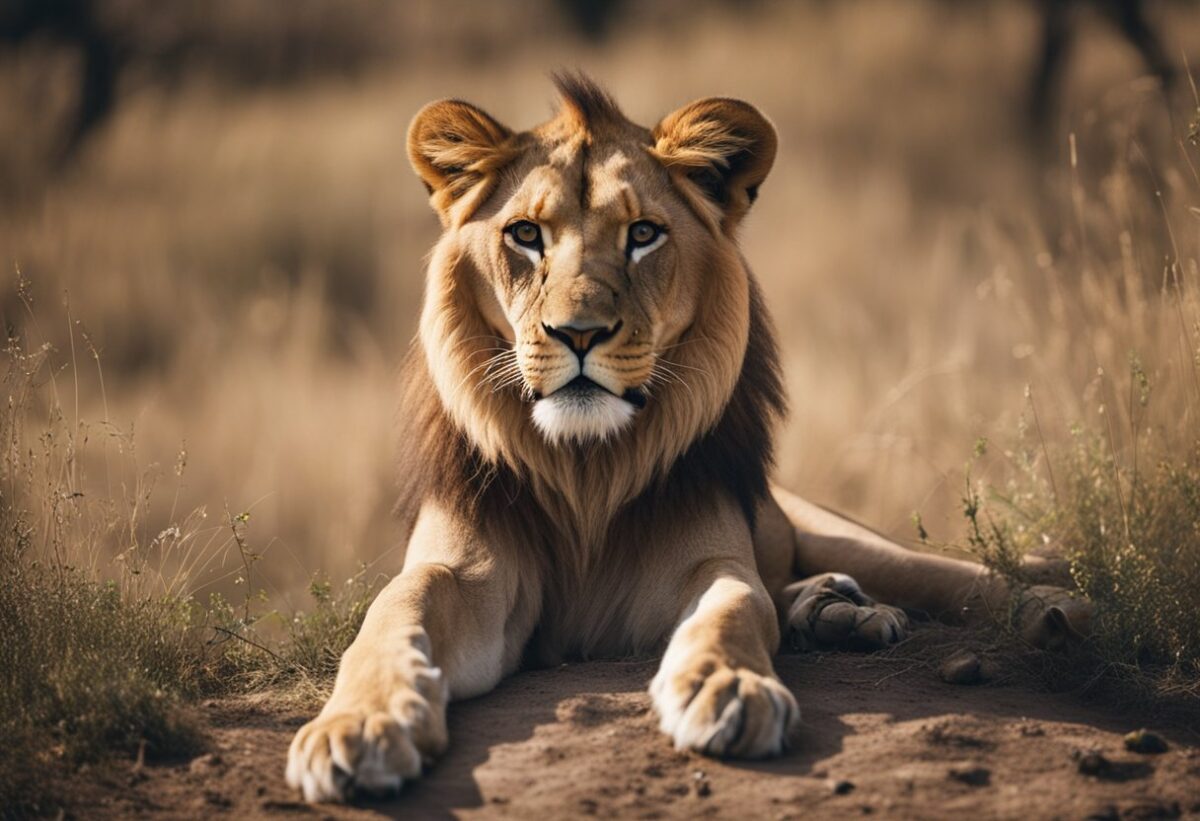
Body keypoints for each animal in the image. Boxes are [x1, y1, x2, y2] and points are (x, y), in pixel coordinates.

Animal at [286, 74, 1089, 802]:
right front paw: (358, 725)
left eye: (643, 235)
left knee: (943, 573)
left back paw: (1047, 612)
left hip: (832, 529)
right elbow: (392, 613)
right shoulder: (464, 571)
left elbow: (736, 604)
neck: (585, 470)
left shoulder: (705, 558)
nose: (578, 333)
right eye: (525, 235)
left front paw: (728, 686)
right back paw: (833, 609)